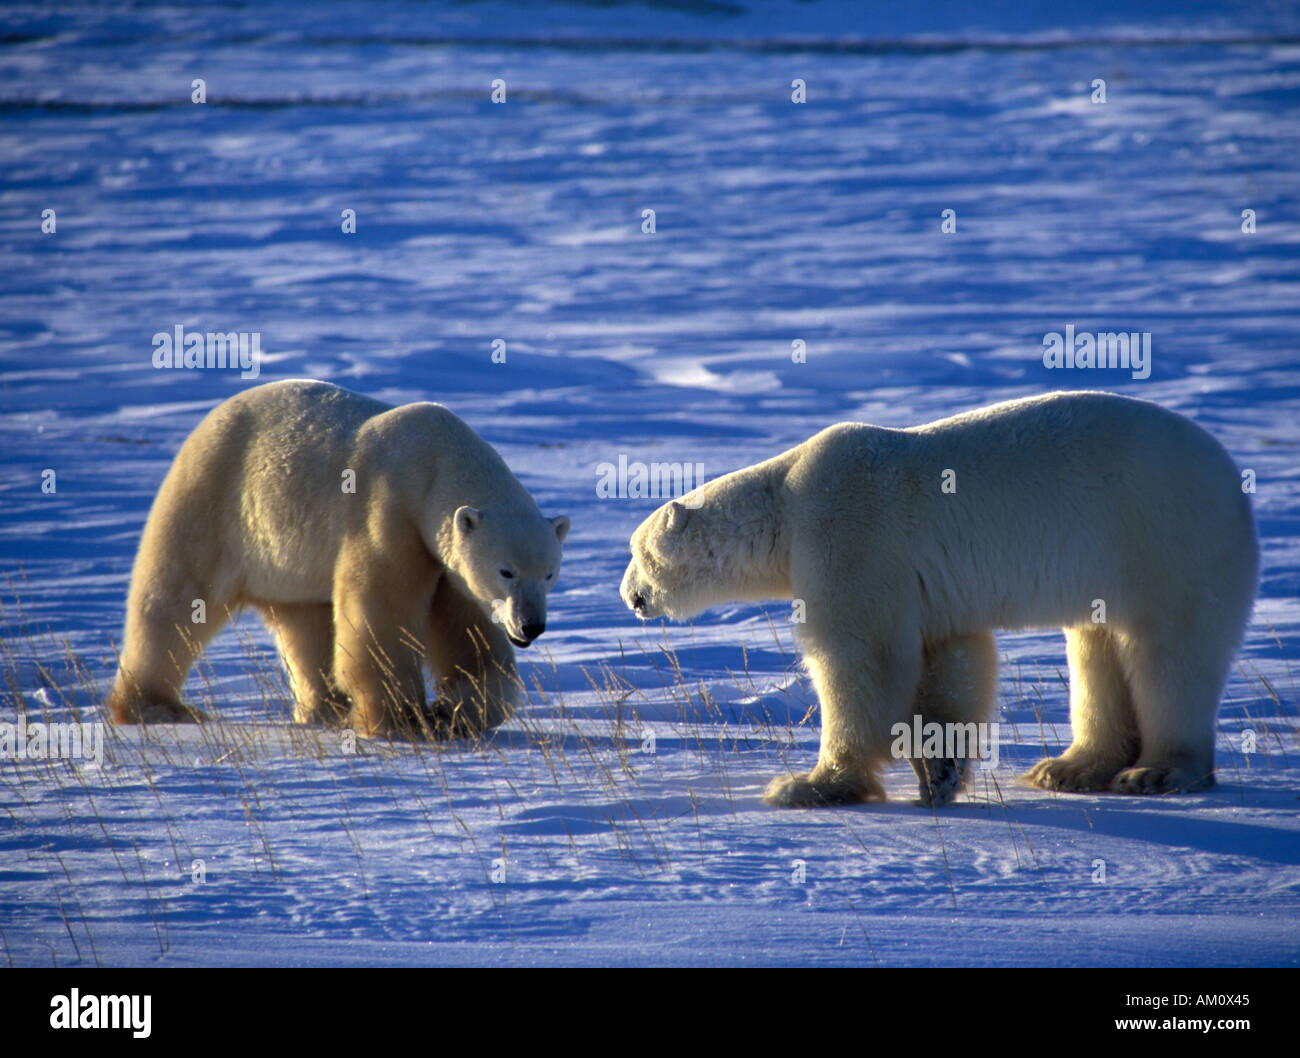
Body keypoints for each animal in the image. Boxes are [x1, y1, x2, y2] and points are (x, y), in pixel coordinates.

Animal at [107, 379, 570, 739]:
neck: (435, 461)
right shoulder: (390, 514)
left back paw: (325, 708)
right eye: (507, 571)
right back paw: (155, 707)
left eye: (549, 574)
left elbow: (467, 632)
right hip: (214, 500)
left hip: (290, 562)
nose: (531, 626)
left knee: (305, 622)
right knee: (175, 600)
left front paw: (455, 711)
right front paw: (399, 718)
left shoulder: (447, 564)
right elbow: (382, 613)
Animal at [620, 391, 1258, 807]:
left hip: (1164, 540)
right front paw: (941, 773)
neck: (784, 503)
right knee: (1097, 648)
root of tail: (1235, 481)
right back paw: (1069, 767)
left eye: (637, 552)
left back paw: (1157, 771)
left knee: (1169, 655)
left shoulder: (847, 534)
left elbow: (858, 657)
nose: (629, 597)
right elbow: (951, 662)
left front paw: (810, 785)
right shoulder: (926, 592)